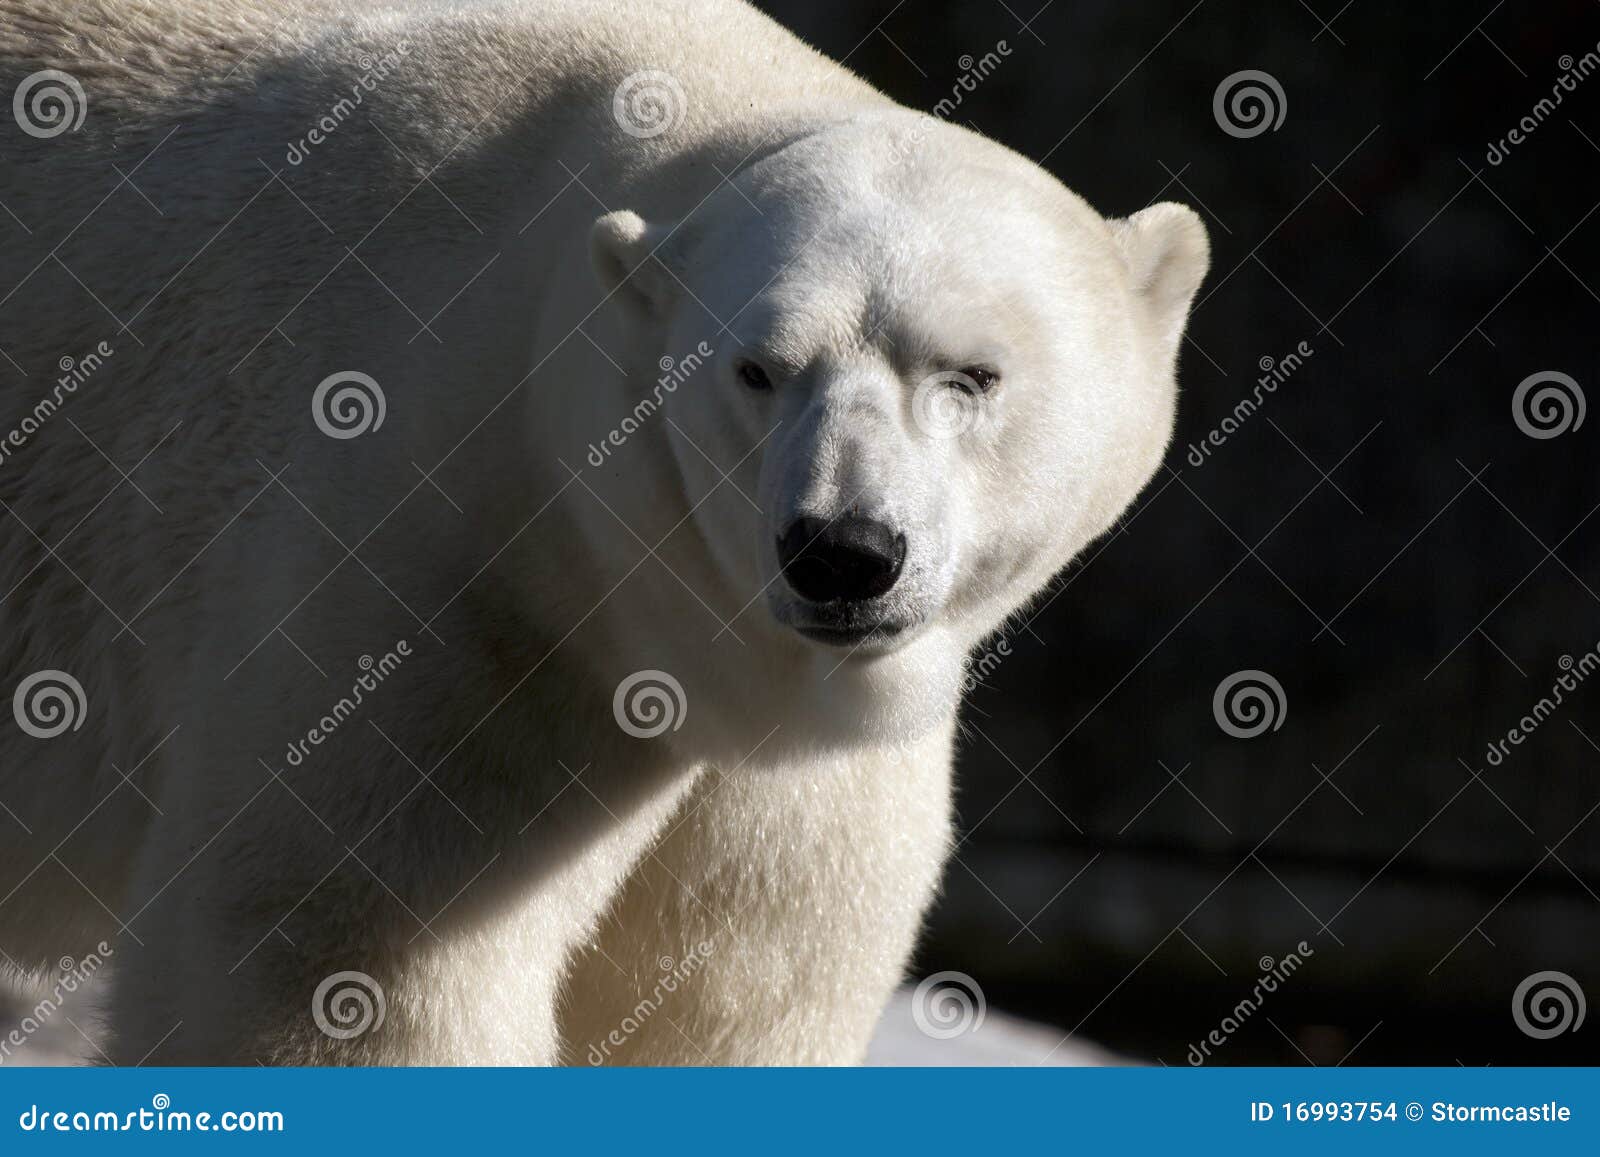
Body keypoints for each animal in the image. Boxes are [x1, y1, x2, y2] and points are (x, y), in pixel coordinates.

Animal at [0, 0, 1207, 1064]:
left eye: (969, 375)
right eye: (756, 369)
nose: (841, 552)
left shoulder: (788, 778)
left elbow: (738, 989)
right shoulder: (451, 569)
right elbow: (342, 949)